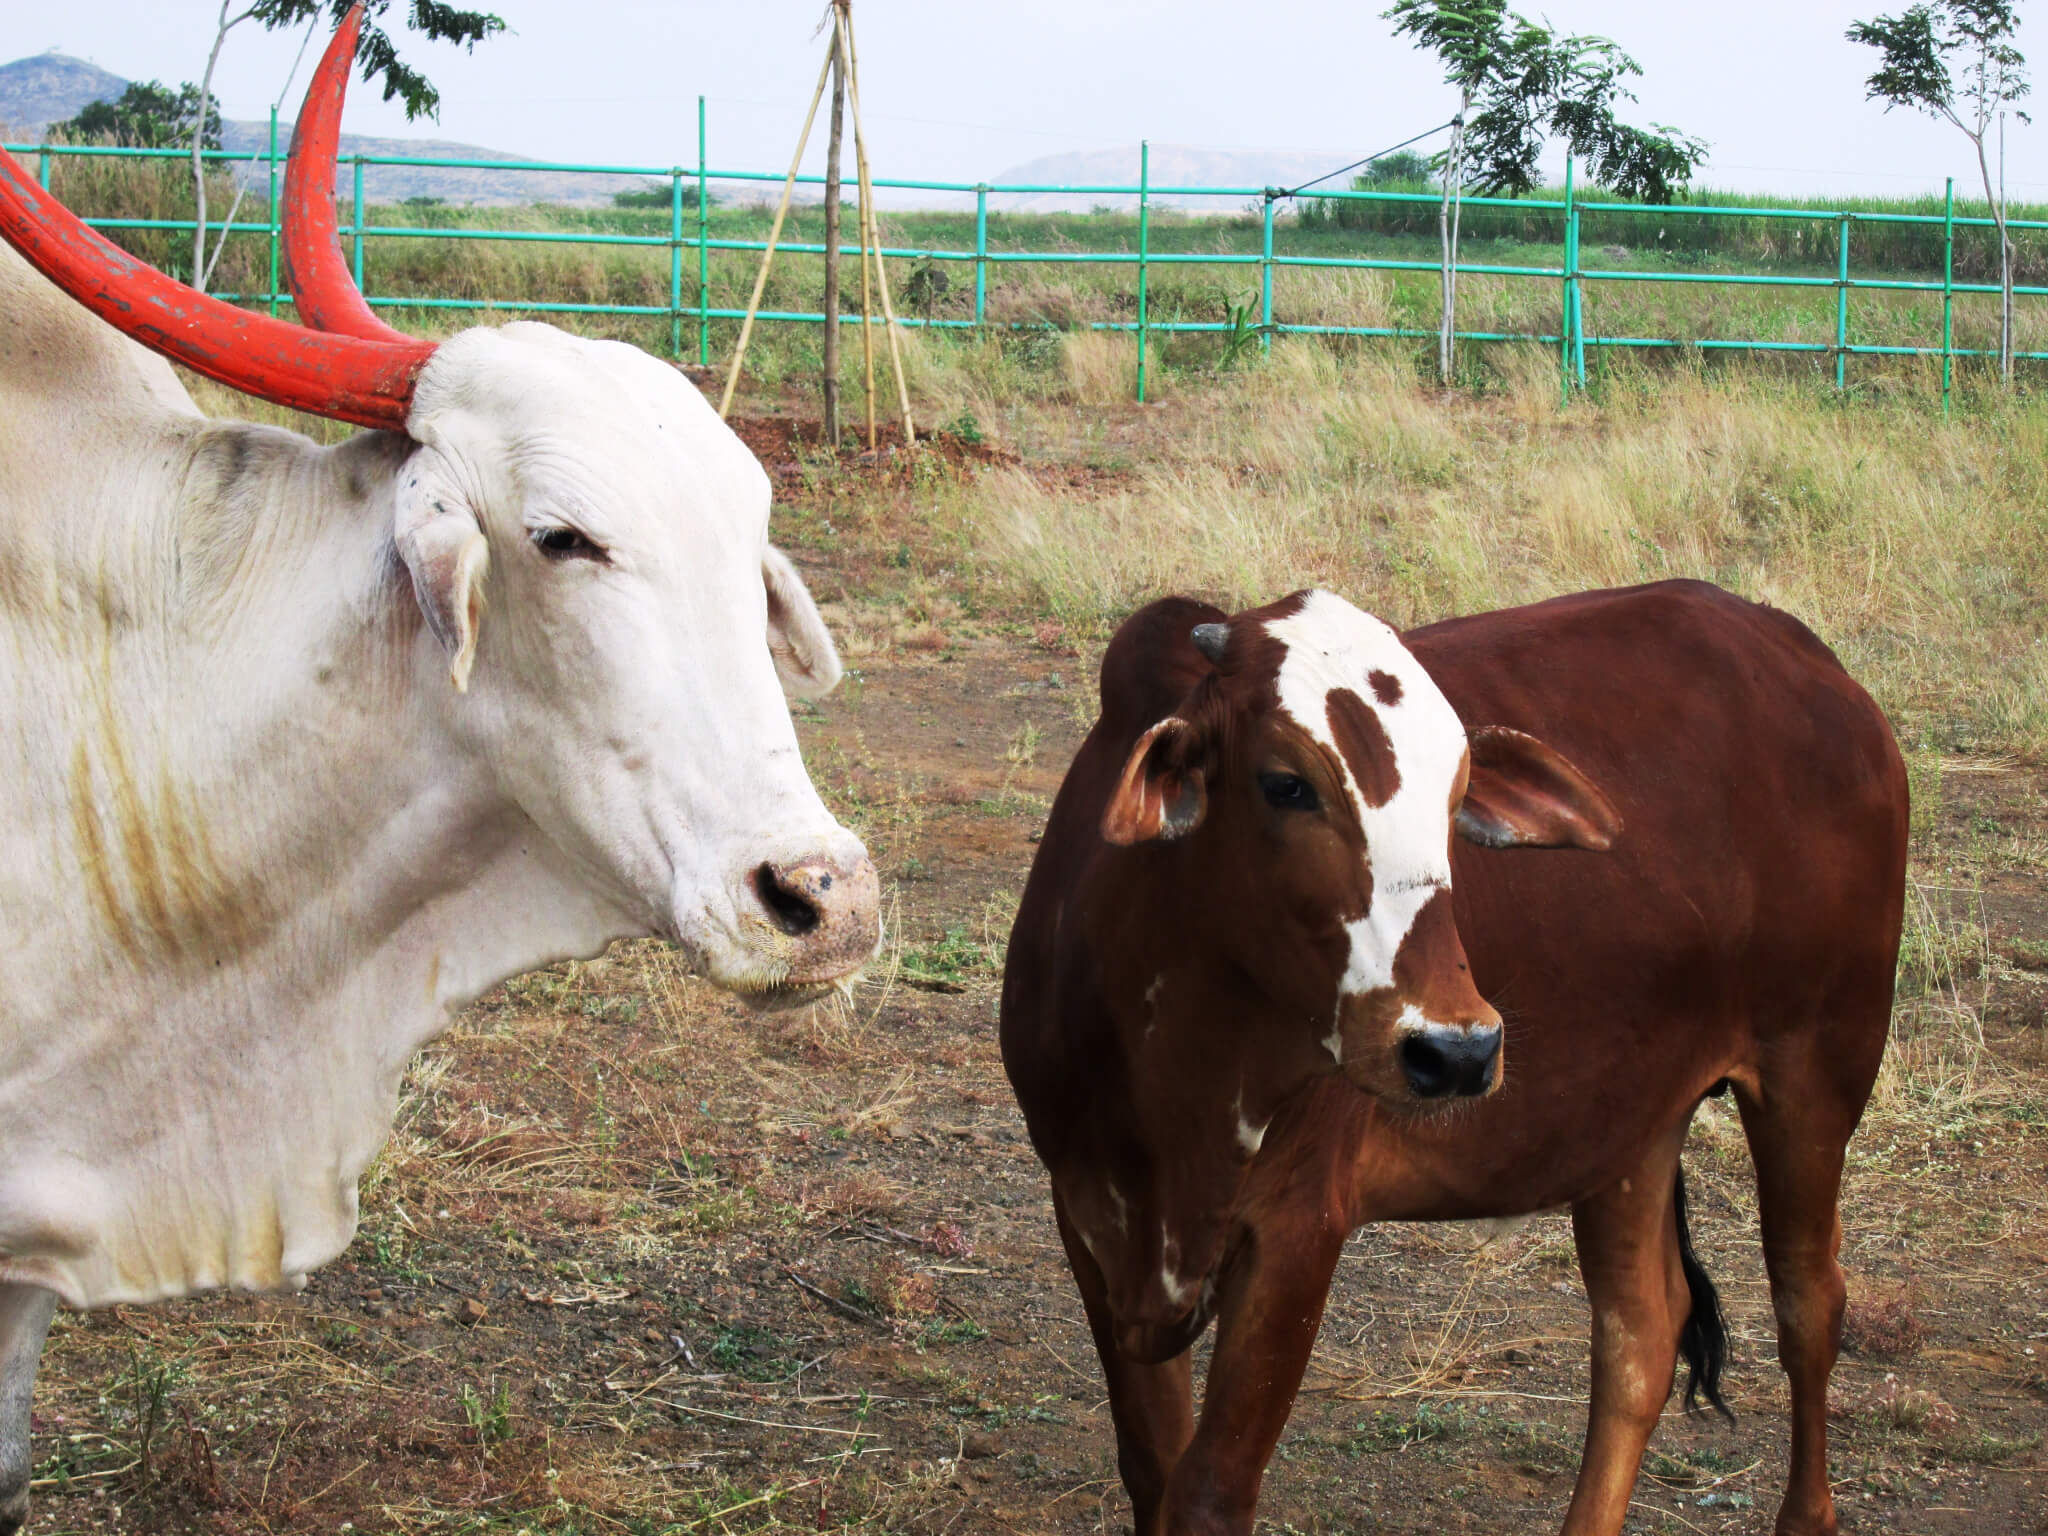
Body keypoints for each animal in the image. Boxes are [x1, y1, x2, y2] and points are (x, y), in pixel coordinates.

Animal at [1002, 580, 1908, 1536]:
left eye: (1456, 797)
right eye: (1286, 784)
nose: (1457, 1051)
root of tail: (1808, 660)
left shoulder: (1299, 1227)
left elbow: (1210, 1491)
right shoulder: (1089, 1213)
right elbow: (1153, 1465)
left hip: (1819, 1072)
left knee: (1809, 1305)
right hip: (1632, 1122)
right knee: (1639, 1335)